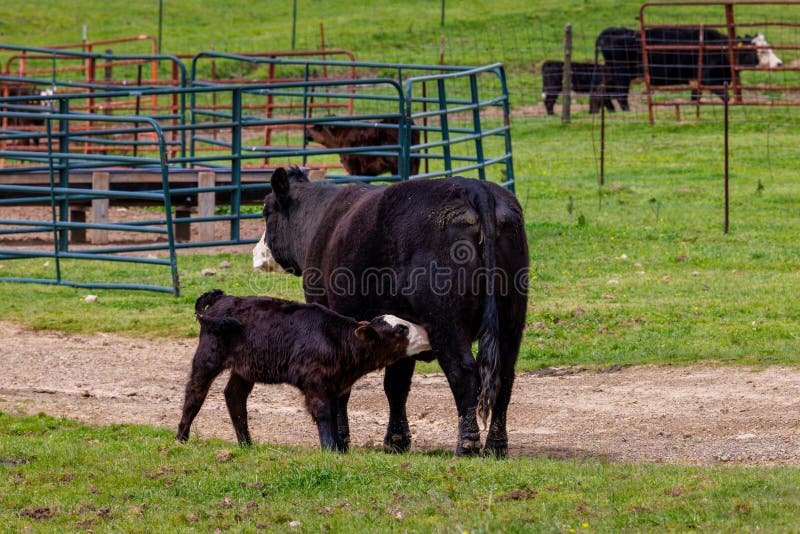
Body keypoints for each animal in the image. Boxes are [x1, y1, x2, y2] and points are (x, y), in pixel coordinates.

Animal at [176, 289, 431, 452]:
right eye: (400, 329)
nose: (426, 332)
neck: (336, 339)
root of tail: (222, 298)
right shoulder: (314, 382)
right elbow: (324, 413)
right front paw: (330, 448)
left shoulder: (335, 386)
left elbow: (335, 413)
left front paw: (340, 447)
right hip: (208, 358)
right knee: (195, 394)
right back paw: (181, 438)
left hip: (244, 369)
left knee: (234, 397)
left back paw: (247, 445)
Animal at [257, 167, 529, 457]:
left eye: (266, 210)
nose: (259, 252)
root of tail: (473, 187)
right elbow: (396, 385)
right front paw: (396, 440)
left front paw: (342, 438)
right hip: (511, 321)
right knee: (504, 377)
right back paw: (496, 446)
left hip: (446, 323)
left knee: (463, 372)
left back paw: (466, 445)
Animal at [593, 27, 783, 109]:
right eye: (762, 50)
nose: (779, 63)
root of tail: (611, 30)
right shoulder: (710, 80)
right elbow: (725, 97)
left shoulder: (697, 81)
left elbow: (695, 98)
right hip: (621, 74)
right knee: (620, 96)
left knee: (604, 90)